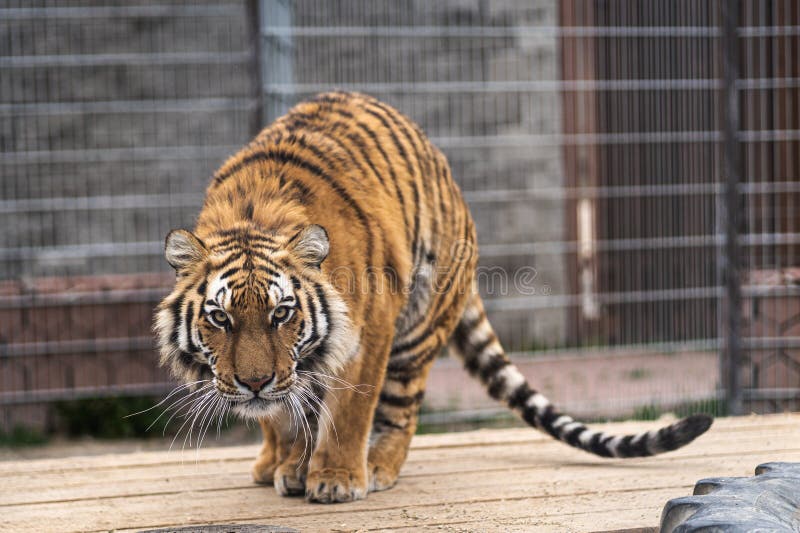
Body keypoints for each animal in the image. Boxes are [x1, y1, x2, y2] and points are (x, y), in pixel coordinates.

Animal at [155, 91, 713, 503]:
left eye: (281, 314)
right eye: (220, 319)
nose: (254, 383)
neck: (253, 217)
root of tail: (454, 190)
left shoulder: (368, 328)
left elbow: (348, 410)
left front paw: (334, 478)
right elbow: (285, 410)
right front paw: (288, 462)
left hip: (416, 325)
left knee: (401, 411)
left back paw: (376, 465)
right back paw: (275, 460)